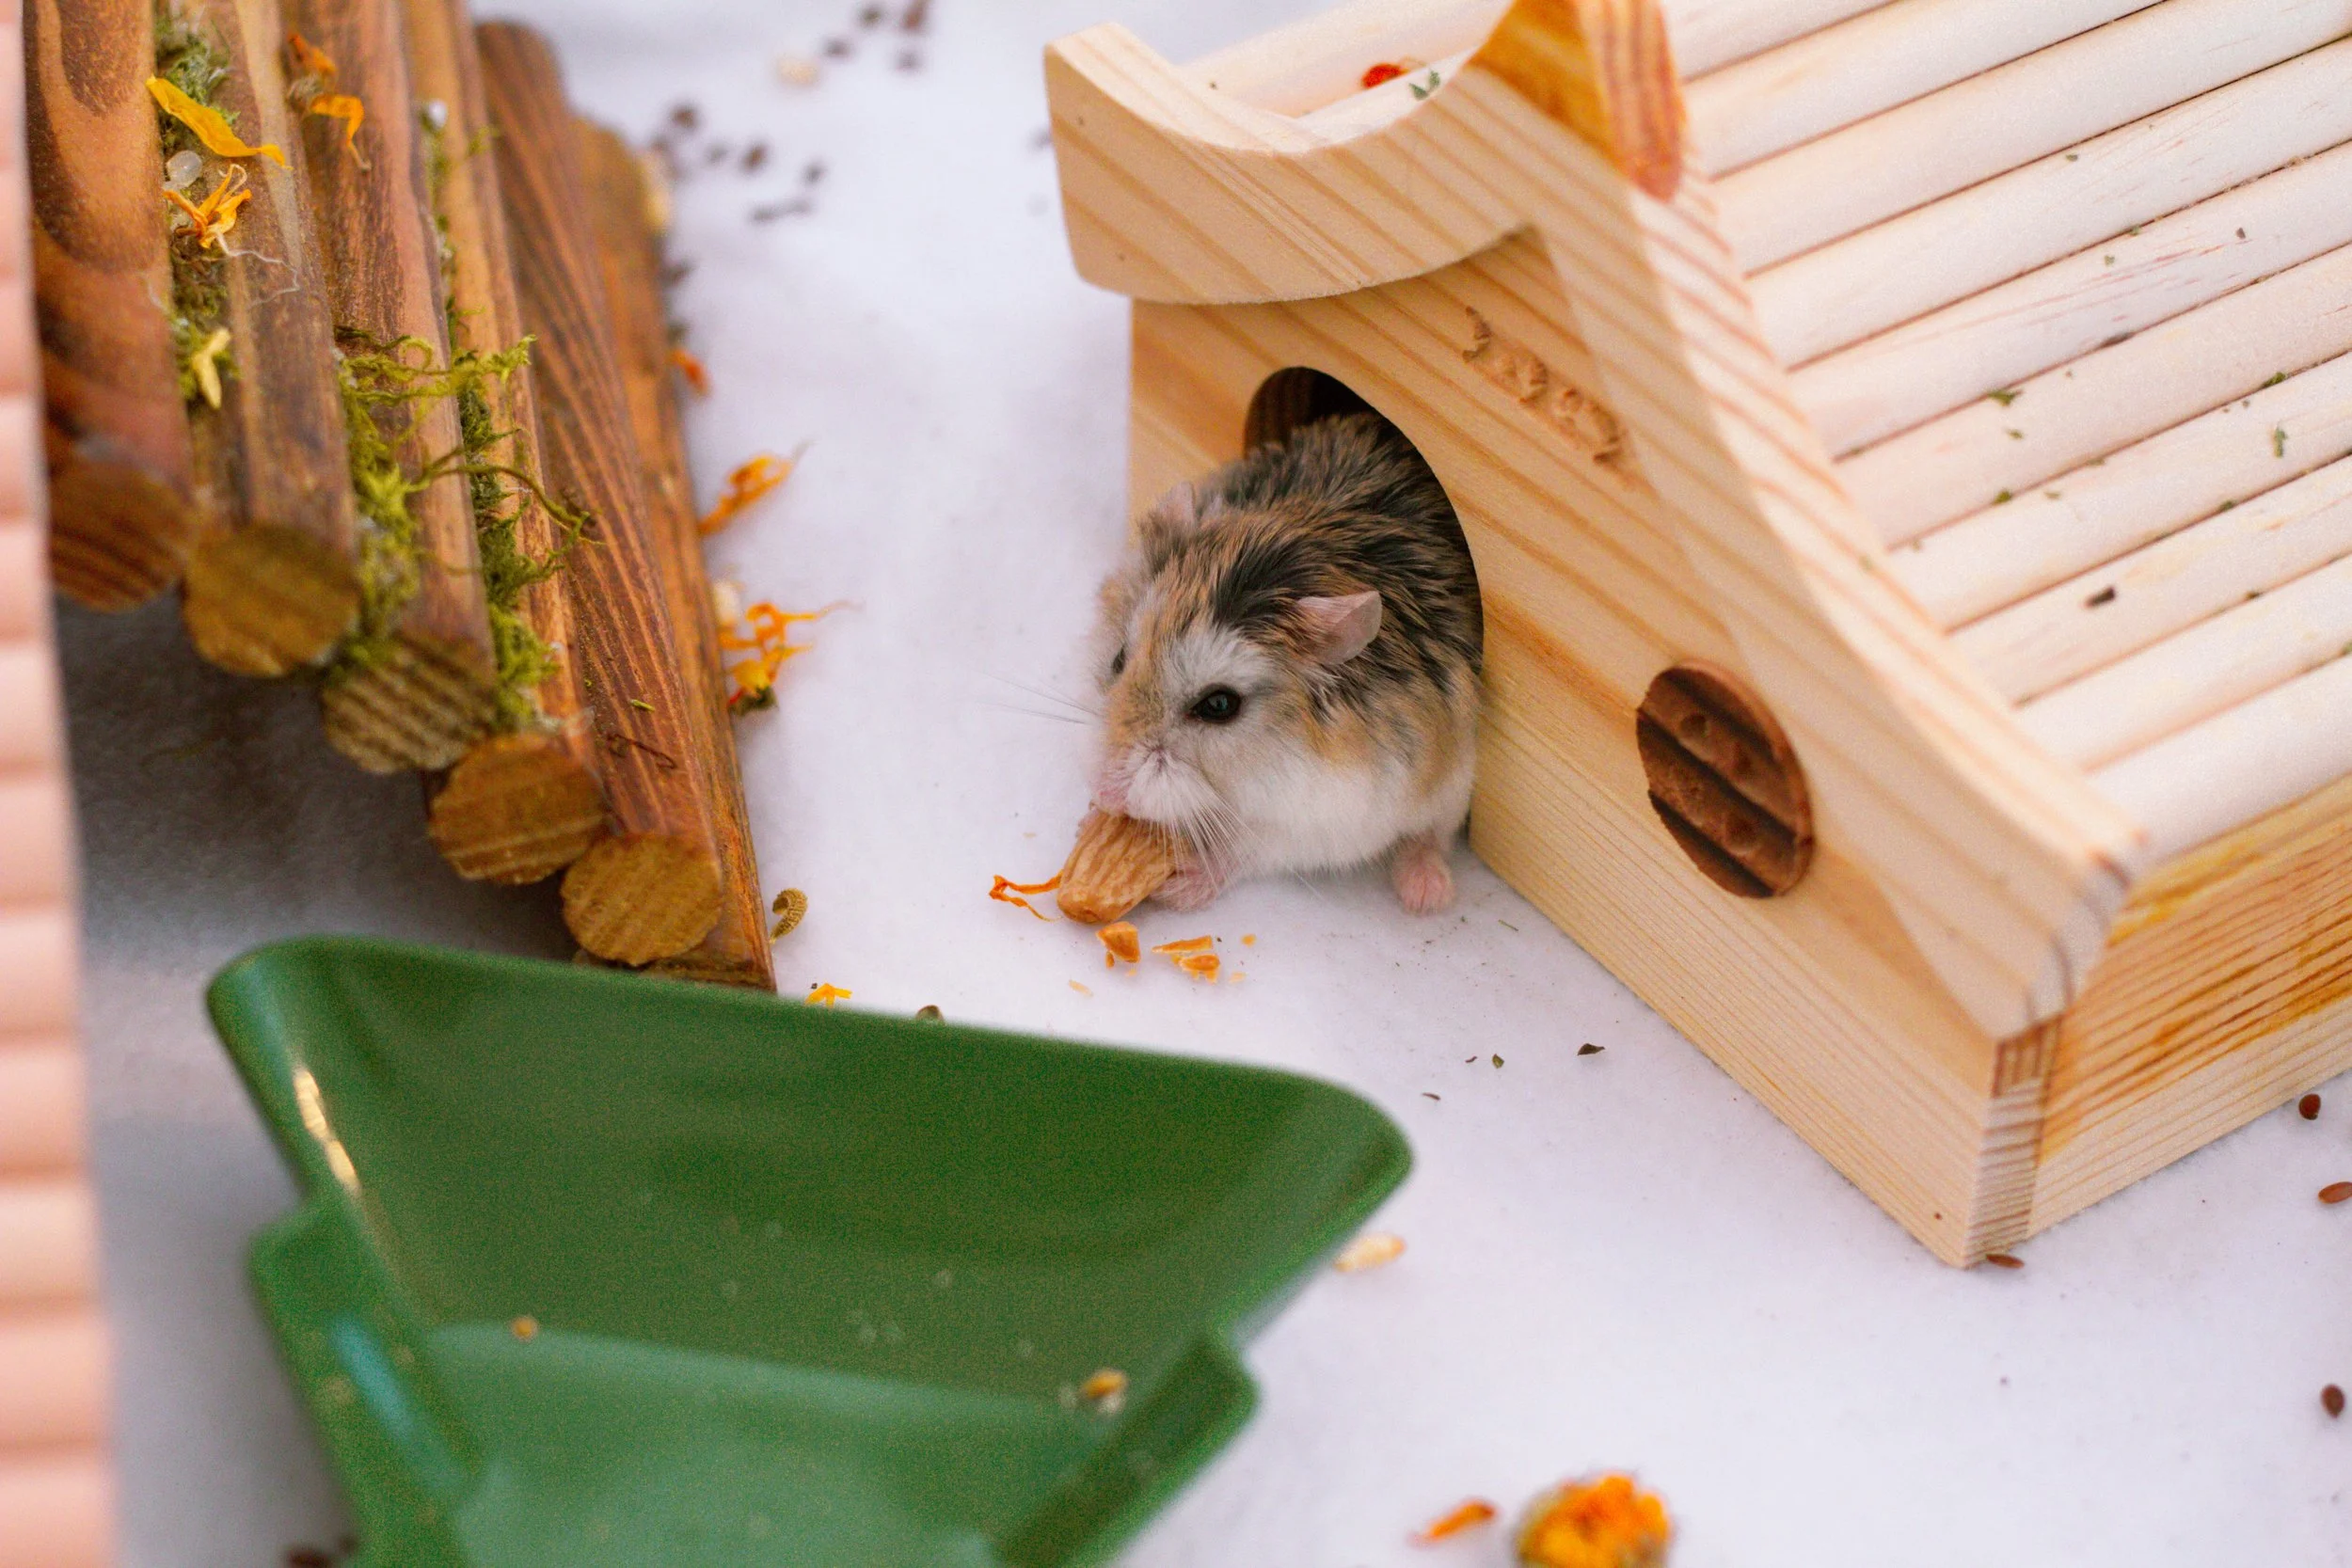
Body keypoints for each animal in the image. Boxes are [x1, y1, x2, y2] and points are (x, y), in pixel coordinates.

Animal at [1089, 411, 1482, 915]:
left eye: (1220, 706)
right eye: (1118, 659)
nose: (1106, 791)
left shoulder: (1327, 820)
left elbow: (1249, 847)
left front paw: (1177, 886)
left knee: (1432, 836)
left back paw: (1426, 894)